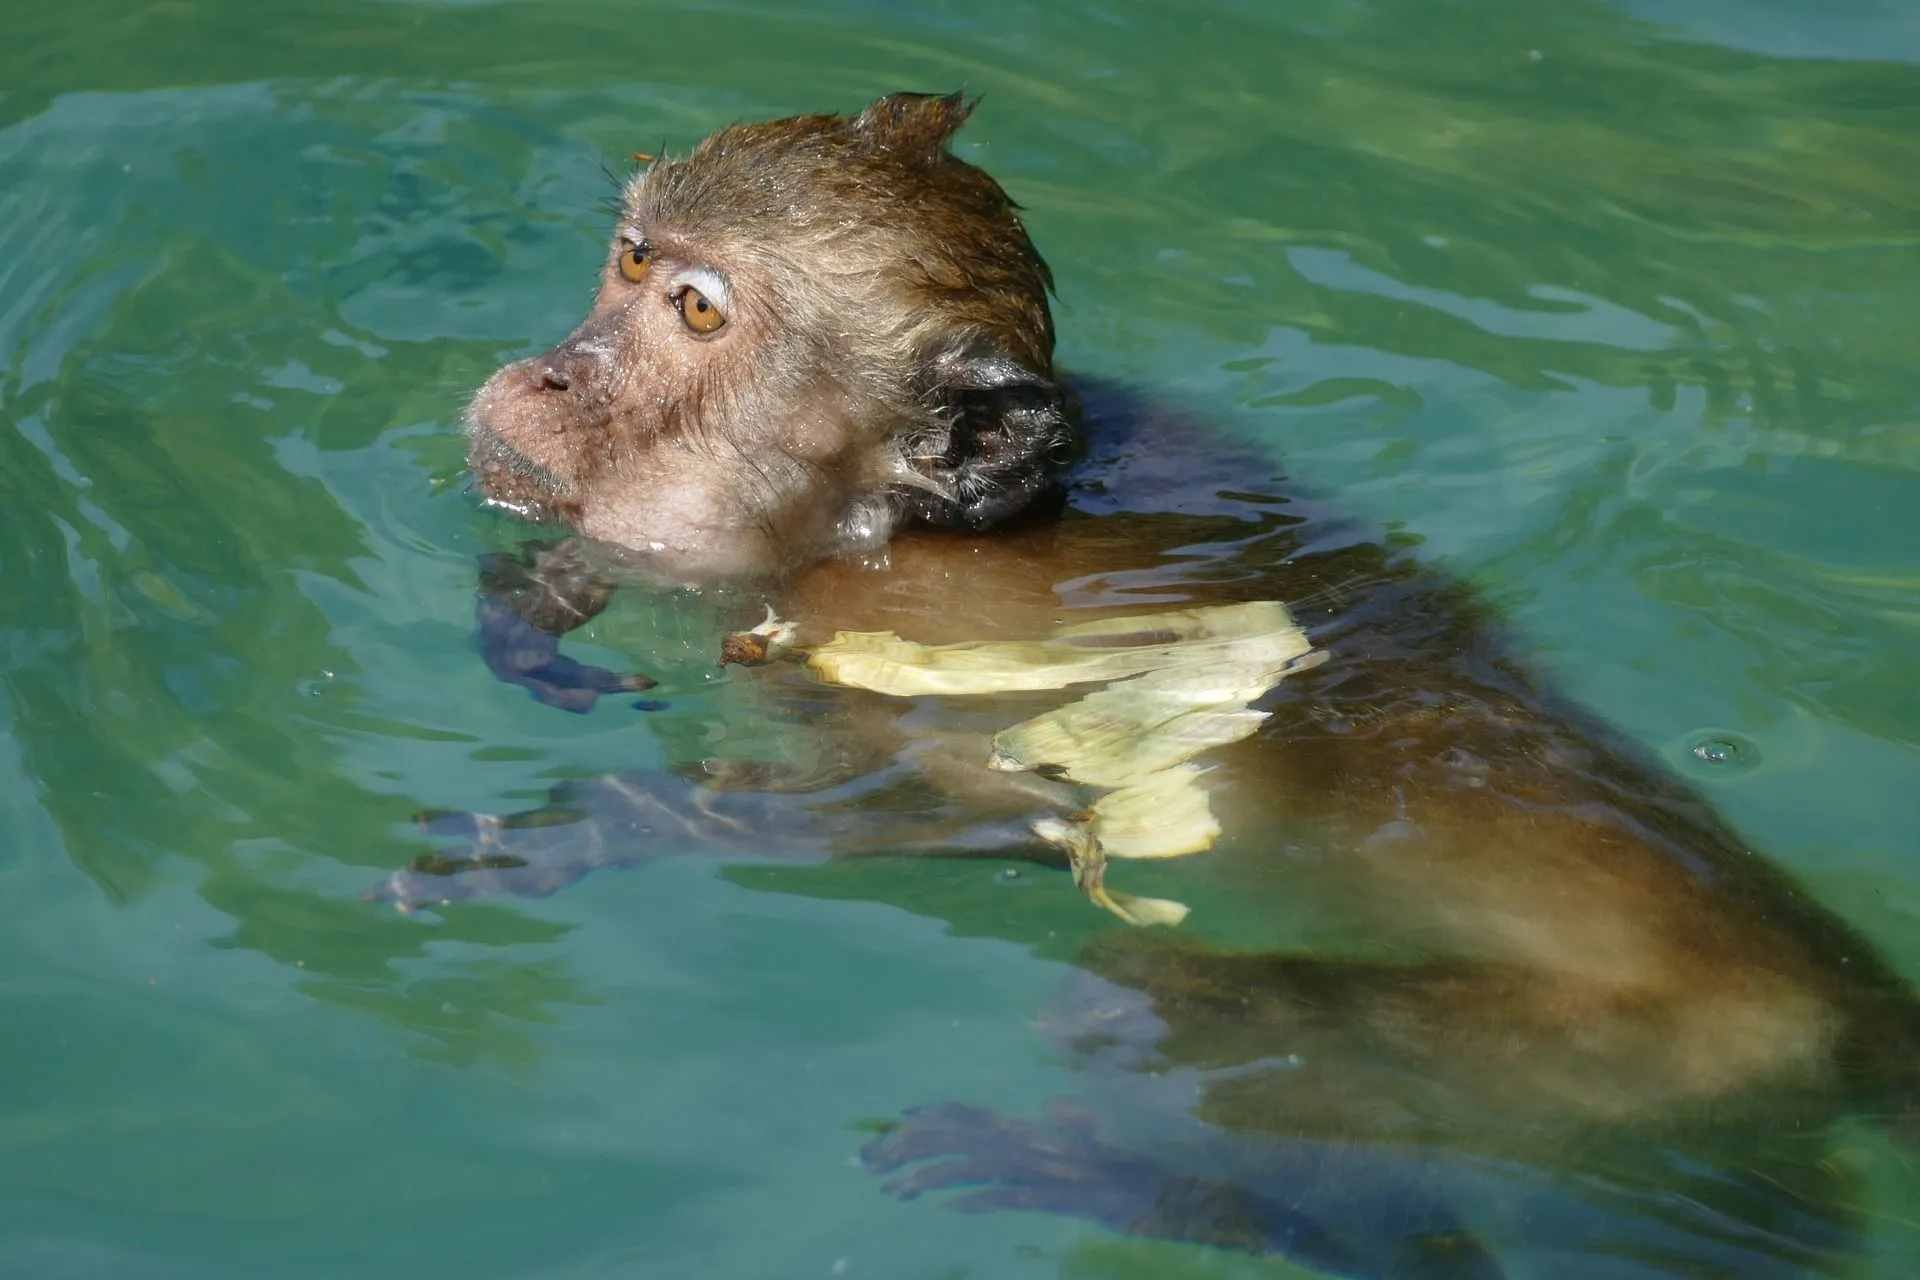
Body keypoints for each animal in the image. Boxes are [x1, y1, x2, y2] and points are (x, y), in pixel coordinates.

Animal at [398, 94, 1920, 1274]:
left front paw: (586, 825)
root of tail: (1852, 1008)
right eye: (629, 258)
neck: (881, 534)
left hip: (1616, 1059)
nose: (554, 373)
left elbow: (959, 816)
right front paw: (531, 614)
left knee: (1142, 997)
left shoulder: (941, 649)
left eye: (698, 310)